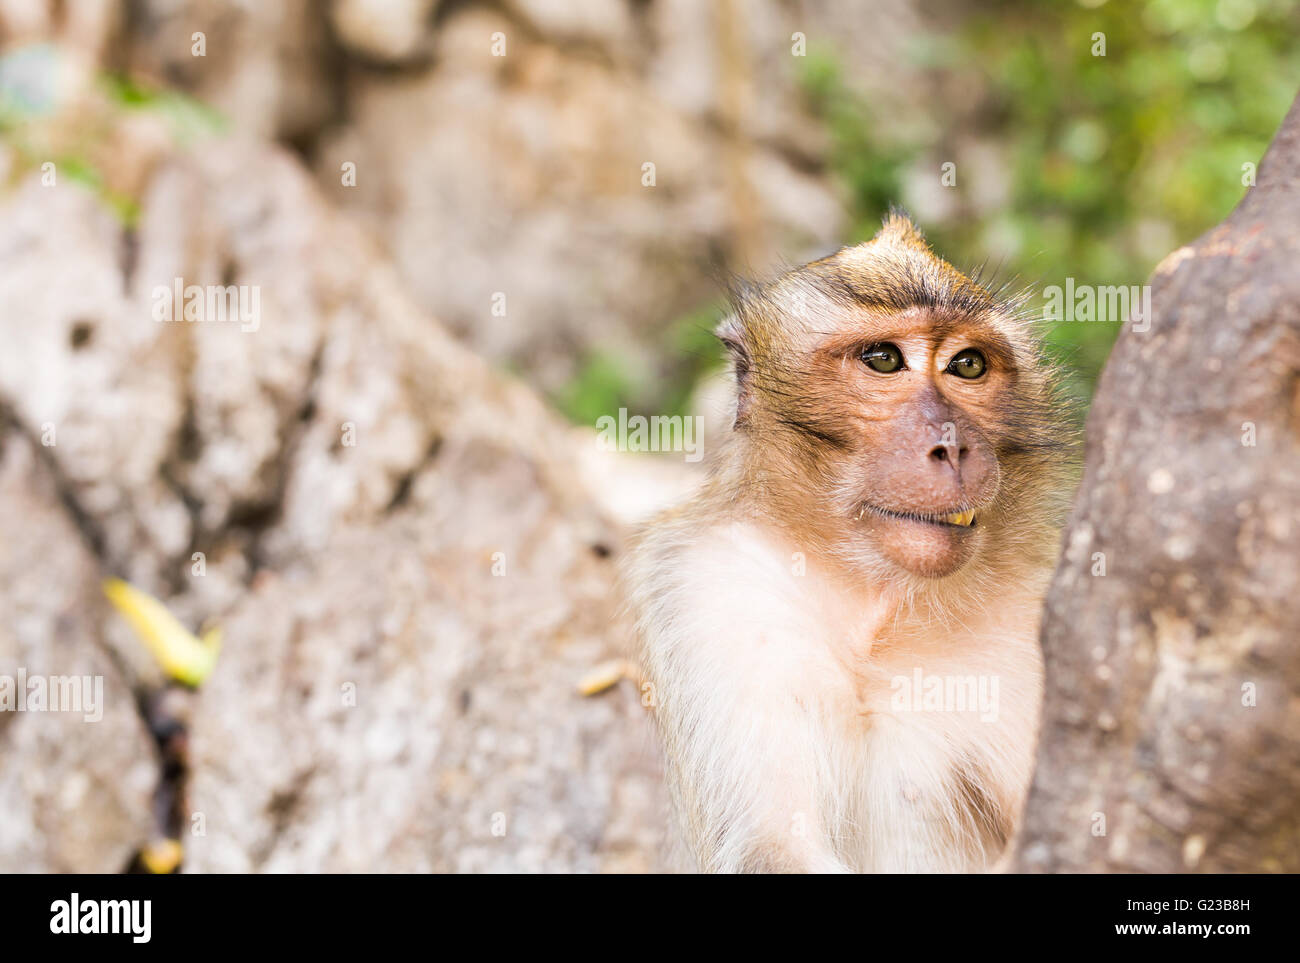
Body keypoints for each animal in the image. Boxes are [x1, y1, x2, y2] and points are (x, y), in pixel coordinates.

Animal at [623, 212, 1077, 873]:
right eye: (884, 359)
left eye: (968, 366)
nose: (951, 444)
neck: (877, 602)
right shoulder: (704, 585)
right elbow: (770, 845)